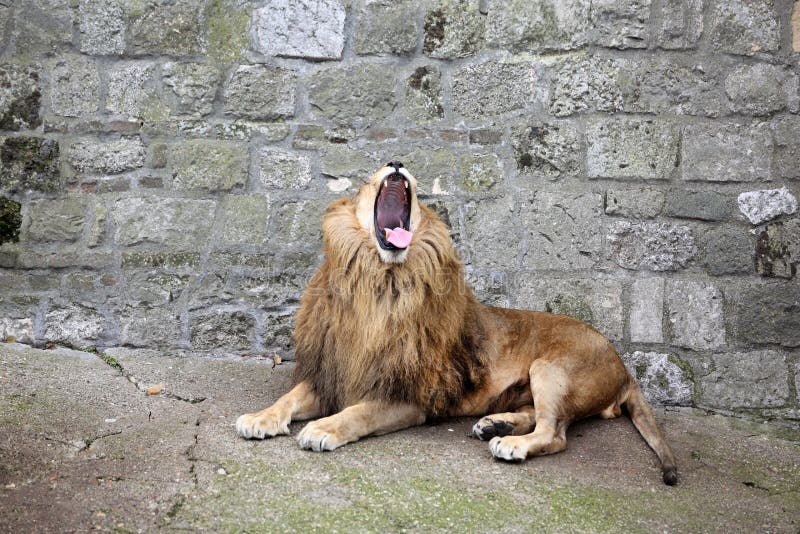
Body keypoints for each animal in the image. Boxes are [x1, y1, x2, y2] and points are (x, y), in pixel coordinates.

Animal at [236, 162, 678, 485]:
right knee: (542, 416)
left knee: (555, 433)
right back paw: (493, 424)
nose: (396, 162)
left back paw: (510, 443)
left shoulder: (408, 396)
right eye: (366, 179)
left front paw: (323, 428)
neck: (380, 283)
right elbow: (290, 397)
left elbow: (356, 414)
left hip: (553, 366)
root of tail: (624, 367)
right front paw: (259, 418)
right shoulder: (334, 372)